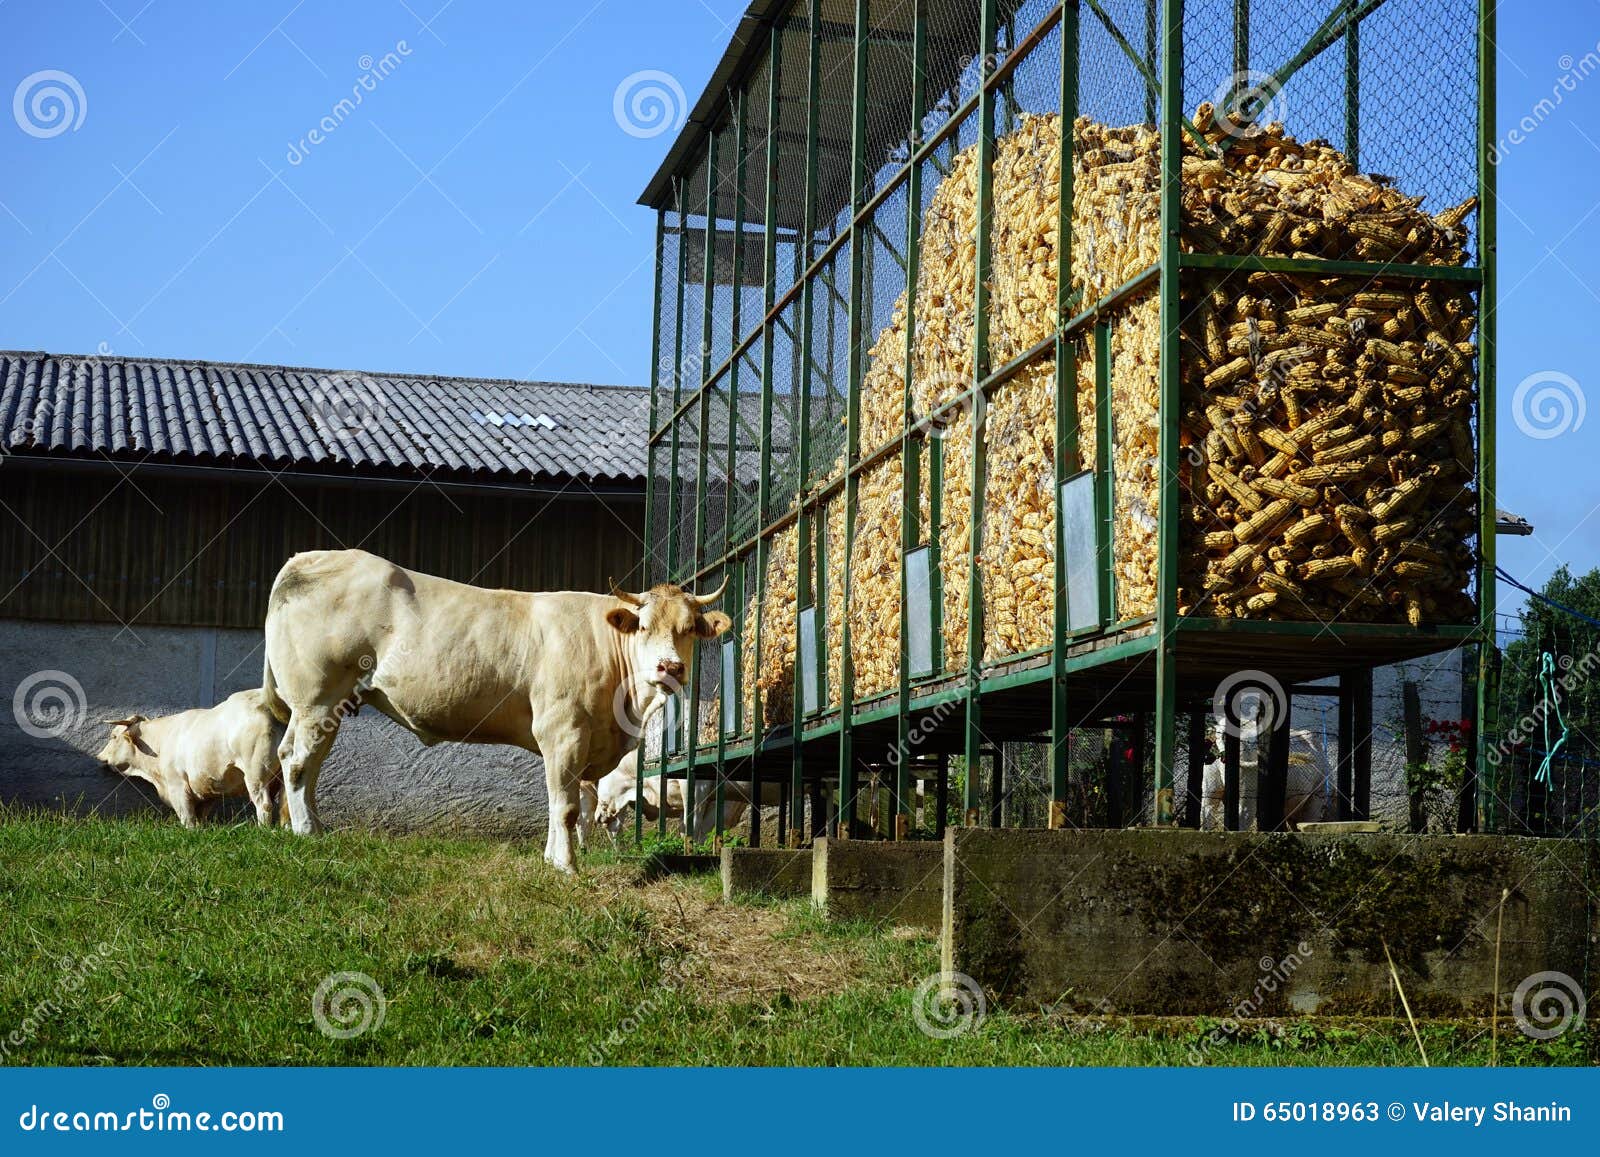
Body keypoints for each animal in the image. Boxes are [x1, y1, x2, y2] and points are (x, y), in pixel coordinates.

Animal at [96, 689, 284, 828]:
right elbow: (201, 817)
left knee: (264, 804)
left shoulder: (178, 786)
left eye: (113, 736)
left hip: (256, 773)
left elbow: (187, 818)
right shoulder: (206, 790)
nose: (99, 756)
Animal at [259, 548, 731, 870]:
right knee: (298, 762)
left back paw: (313, 828)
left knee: (303, 762)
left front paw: (551, 860)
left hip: (327, 707)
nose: (670, 667)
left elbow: (562, 805)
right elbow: (566, 807)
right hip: (317, 698)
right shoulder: (563, 730)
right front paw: (566, 867)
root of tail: (309, 557)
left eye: (689, 629)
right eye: (645, 626)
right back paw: (306, 832)